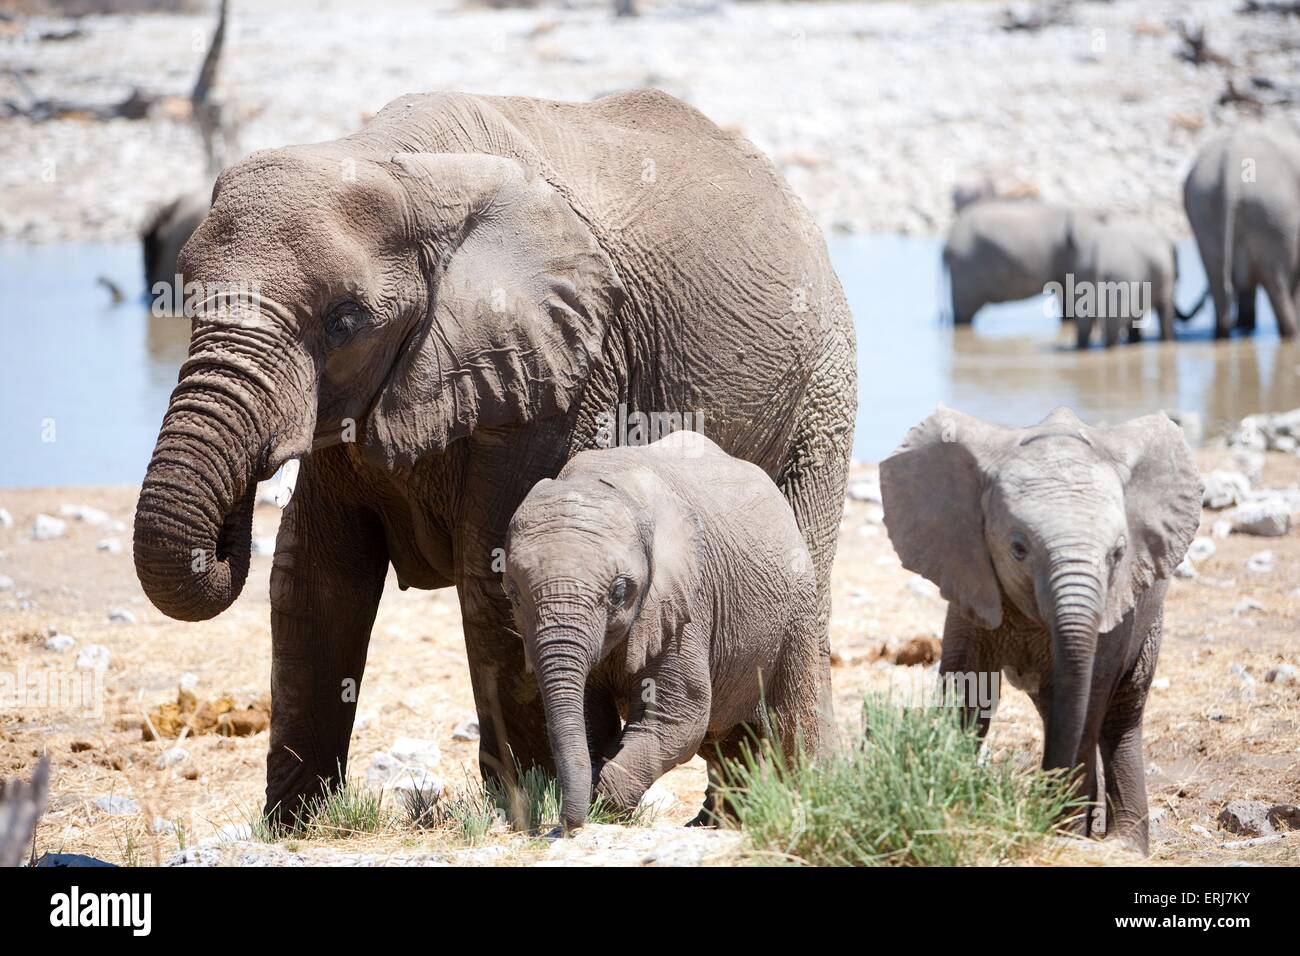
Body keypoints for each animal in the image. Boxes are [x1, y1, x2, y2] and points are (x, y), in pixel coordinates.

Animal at [503, 432, 833, 830]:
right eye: (513, 592)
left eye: (619, 591)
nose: (564, 825)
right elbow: (593, 717)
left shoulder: (686, 603)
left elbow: (678, 717)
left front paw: (605, 808)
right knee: (727, 740)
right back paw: (718, 823)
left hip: (797, 613)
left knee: (789, 721)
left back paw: (801, 806)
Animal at [879, 406, 1201, 853]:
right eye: (1018, 548)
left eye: (1118, 553)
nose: (1037, 810)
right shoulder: (969, 577)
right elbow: (968, 690)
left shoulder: (1114, 611)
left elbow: (1089, 697)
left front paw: (1063, 832)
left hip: (1148, 621)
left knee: (1118, 714)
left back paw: (1122, 845)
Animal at [1183, 122, 1300, 339]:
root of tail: (1229, 167)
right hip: (1273, 215)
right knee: (1280, 285)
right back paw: (1291, 332)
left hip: (1204, 208)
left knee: (1218, 284)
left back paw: (1227, 333)